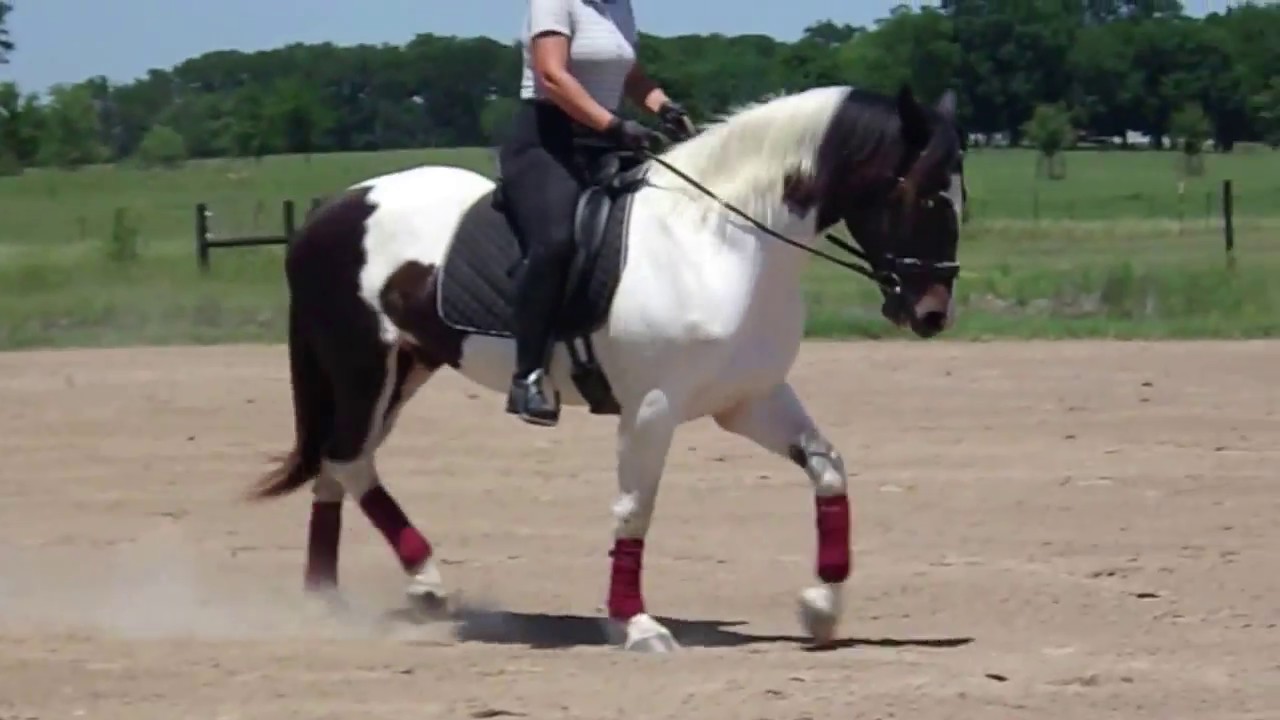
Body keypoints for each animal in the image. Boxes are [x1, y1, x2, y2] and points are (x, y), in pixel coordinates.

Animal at [246, 83, 966, 652]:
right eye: (928, 196)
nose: (932, 314)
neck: (720, 240)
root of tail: (334, 207)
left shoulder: (750, 398)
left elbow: (828, 468)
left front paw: (821, 608)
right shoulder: (652, 408)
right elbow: (634, 509)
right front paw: (635, 625)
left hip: (405, 365)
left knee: (341, 464)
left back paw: (336, 599)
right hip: (361, 364)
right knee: (347, 459)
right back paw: (411, 584)